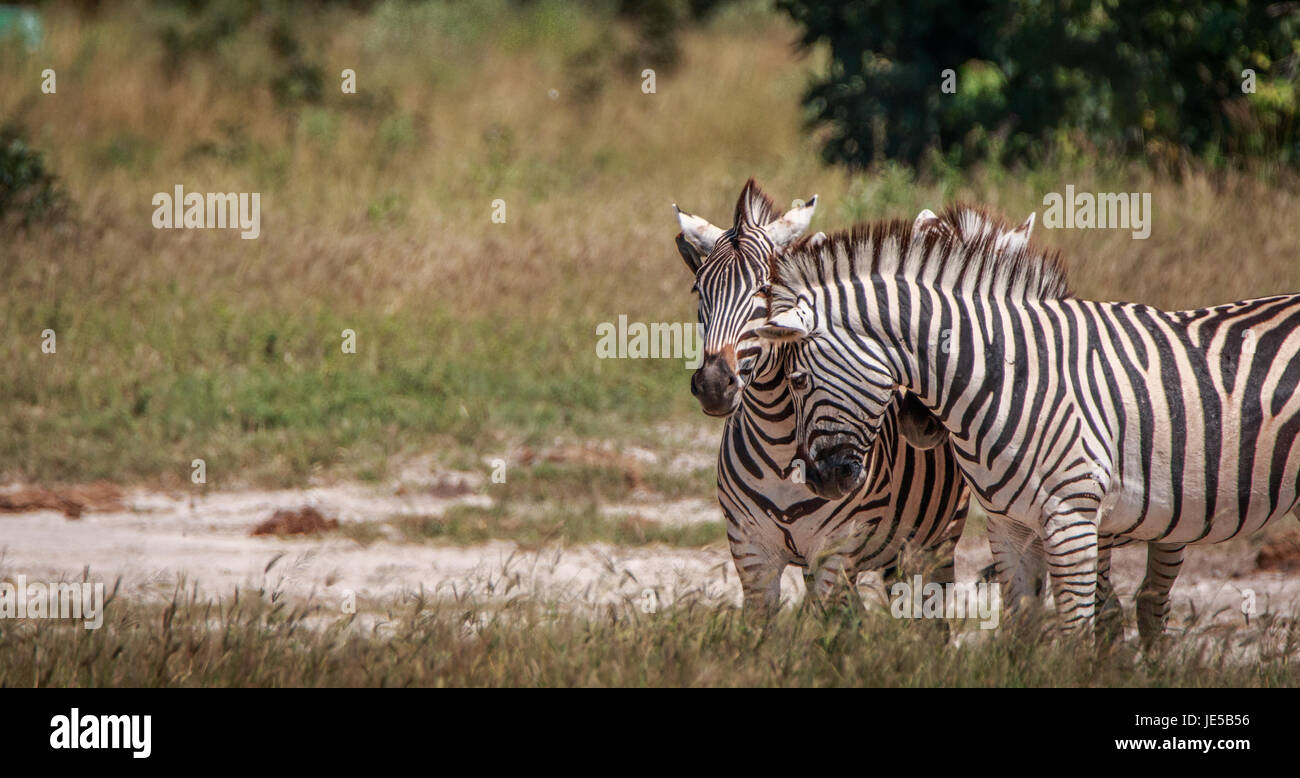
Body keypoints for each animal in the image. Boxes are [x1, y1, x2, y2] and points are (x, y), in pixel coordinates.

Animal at [673, 180, 978, 614]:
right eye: (699, 290)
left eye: (766, 292)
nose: (715, 385)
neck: (780, 453)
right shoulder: (751, 552)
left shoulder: (836, 550)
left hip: (935, 540)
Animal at [758, 214, 1300, 640]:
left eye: (797, 378)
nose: (822, 480)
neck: (1012, 376)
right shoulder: (1012, 527)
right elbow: (1022, 629)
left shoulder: (1074, 520)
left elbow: (1079, 628)